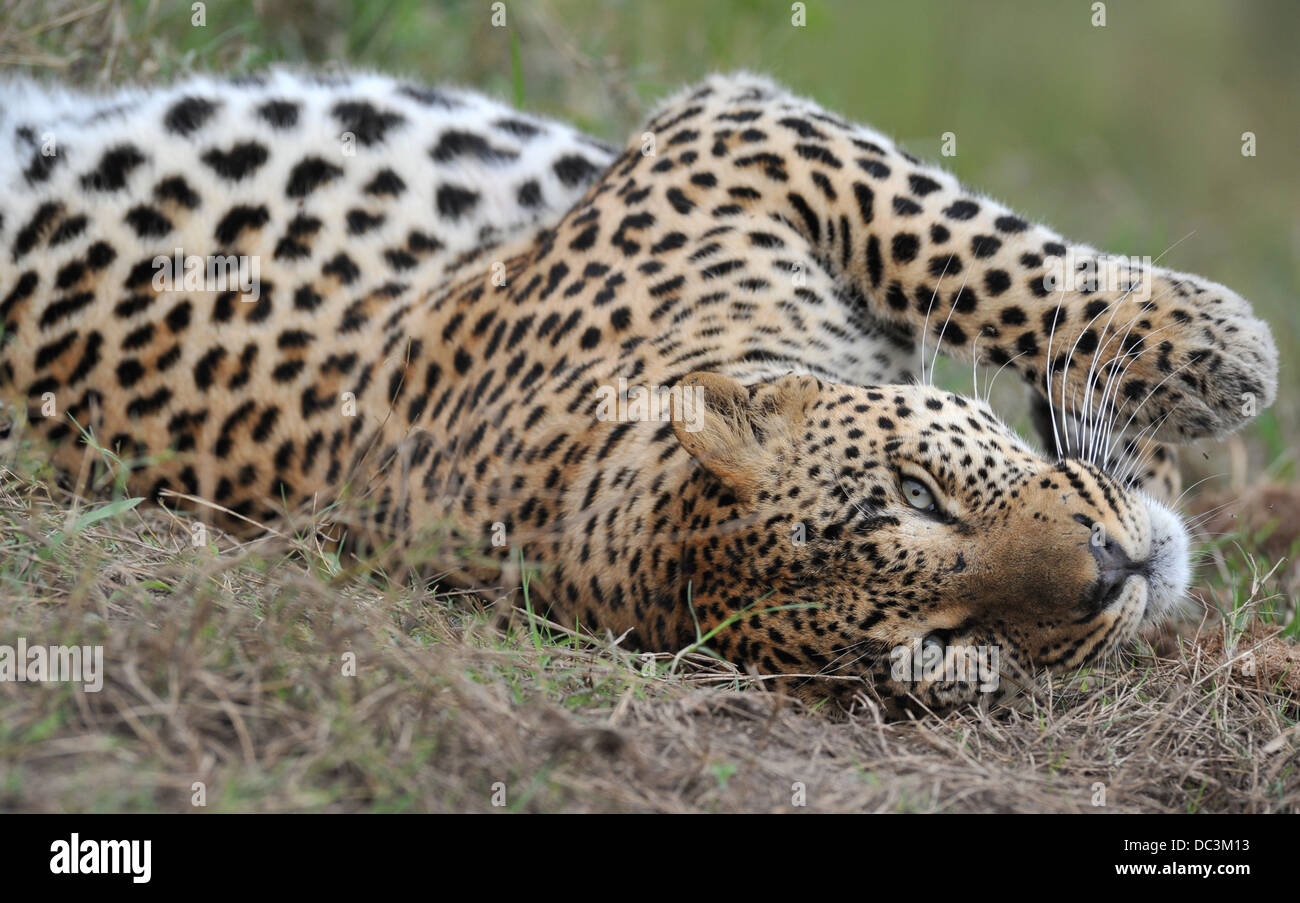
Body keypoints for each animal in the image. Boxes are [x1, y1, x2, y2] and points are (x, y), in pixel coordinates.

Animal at [0, 69, 1278, 715]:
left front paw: (1209, 348)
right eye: (952, 645)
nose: (1109, 573)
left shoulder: (727, 140)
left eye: (919, 490)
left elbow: (953, 243)